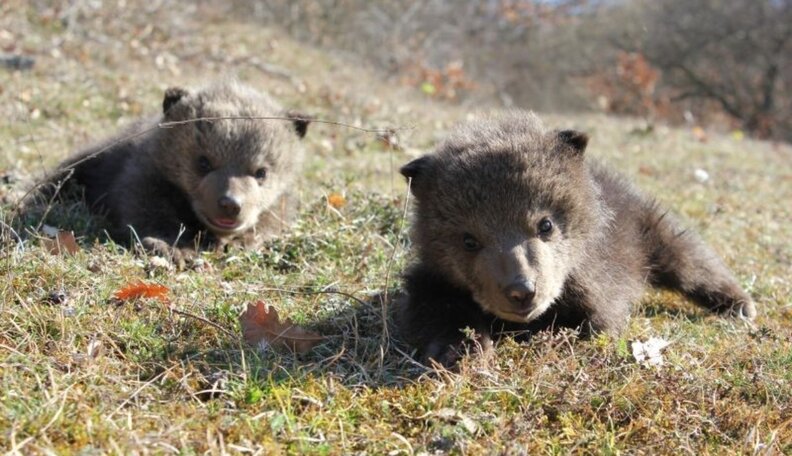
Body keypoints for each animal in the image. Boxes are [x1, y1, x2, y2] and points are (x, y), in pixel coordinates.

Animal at [44, 80, 310, 266]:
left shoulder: (281, 199)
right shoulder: (143, 172)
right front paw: (174, 248)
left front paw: (242, 242)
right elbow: (145, 206)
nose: (230, 204)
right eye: (203, 162)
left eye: (261, 171)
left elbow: (274, 216)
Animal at [396, 111, 756, 367]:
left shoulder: (599, 283)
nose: (521, 291)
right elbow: (437, 310)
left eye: (545, 224)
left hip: (652, 227)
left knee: (690, 259)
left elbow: (596, 322)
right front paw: (462, 350)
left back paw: (739, 304)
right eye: (469, 241)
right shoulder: (433, 281)